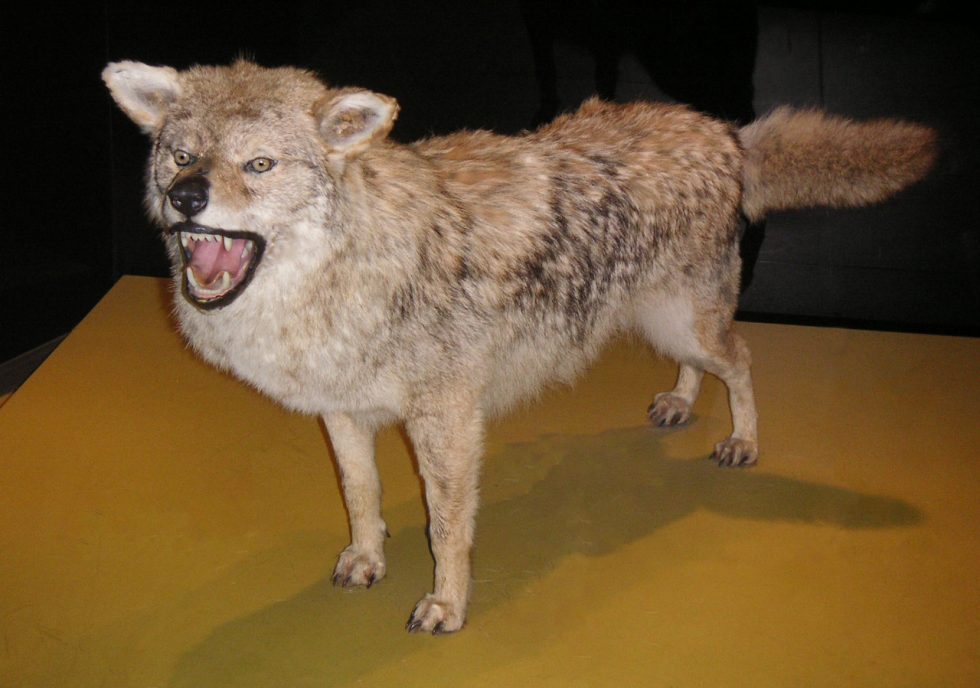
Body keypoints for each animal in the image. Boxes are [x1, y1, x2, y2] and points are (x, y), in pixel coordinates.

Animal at [103, 60, 935, 634]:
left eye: (259, 165)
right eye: (181, 155)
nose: (185, 199)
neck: (348, 271)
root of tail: (723, 131)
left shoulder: (446, 420)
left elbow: (446, 526)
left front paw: (446, 605)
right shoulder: (340, 412)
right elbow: (361, 495)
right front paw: (367, 560)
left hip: (682, 320)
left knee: (744, 359)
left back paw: (744, 441)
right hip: (661, 321)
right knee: (705, 367)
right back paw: (677, 403)